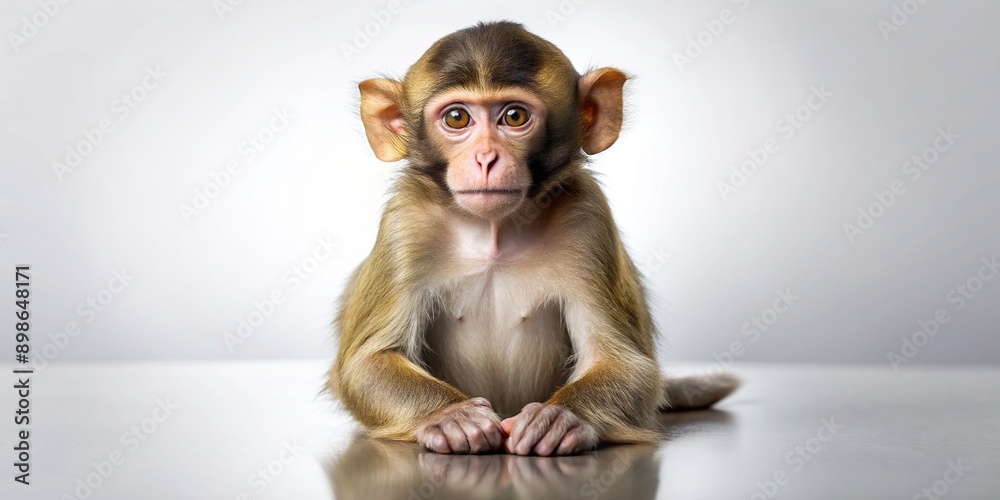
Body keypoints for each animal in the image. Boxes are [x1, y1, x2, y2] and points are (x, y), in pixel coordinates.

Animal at [327, 21, 739, 456]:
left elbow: (625, 363)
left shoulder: (588, 220)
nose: (486, 158)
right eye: (457, 118)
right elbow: (366, 361)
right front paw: (451, 416)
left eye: (514, 115)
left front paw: (560, 418)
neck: (494, 233)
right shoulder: (405, 226)